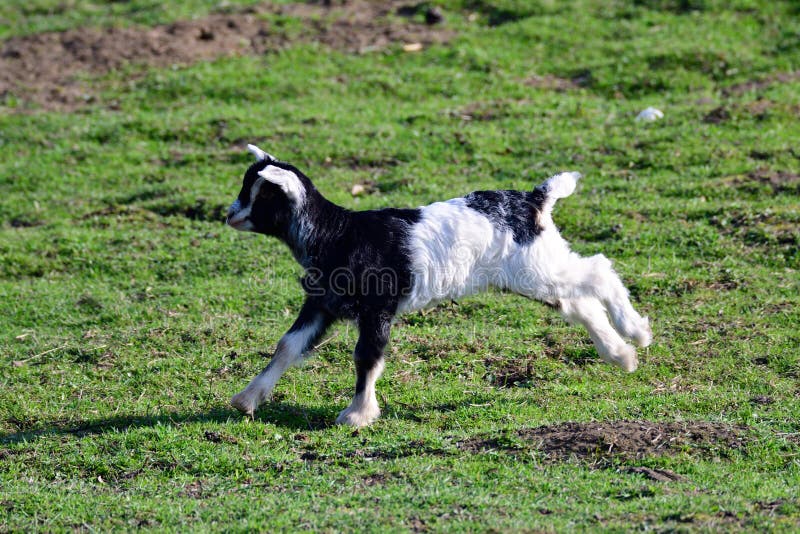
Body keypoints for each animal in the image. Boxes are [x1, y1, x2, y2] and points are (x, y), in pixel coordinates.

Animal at [226, 144, 652, 427]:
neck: (338, 233)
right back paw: (621, 355)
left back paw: (637, 332)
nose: (229, 215)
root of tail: (535, 200)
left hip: (536, 268)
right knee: (580, 302)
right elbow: (287, 345)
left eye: (259, 195)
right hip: (535, 272)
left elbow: (366, 356)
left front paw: (357, 414)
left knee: (598, 271)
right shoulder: (321, 304)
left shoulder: (377, 308)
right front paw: (247, 399)